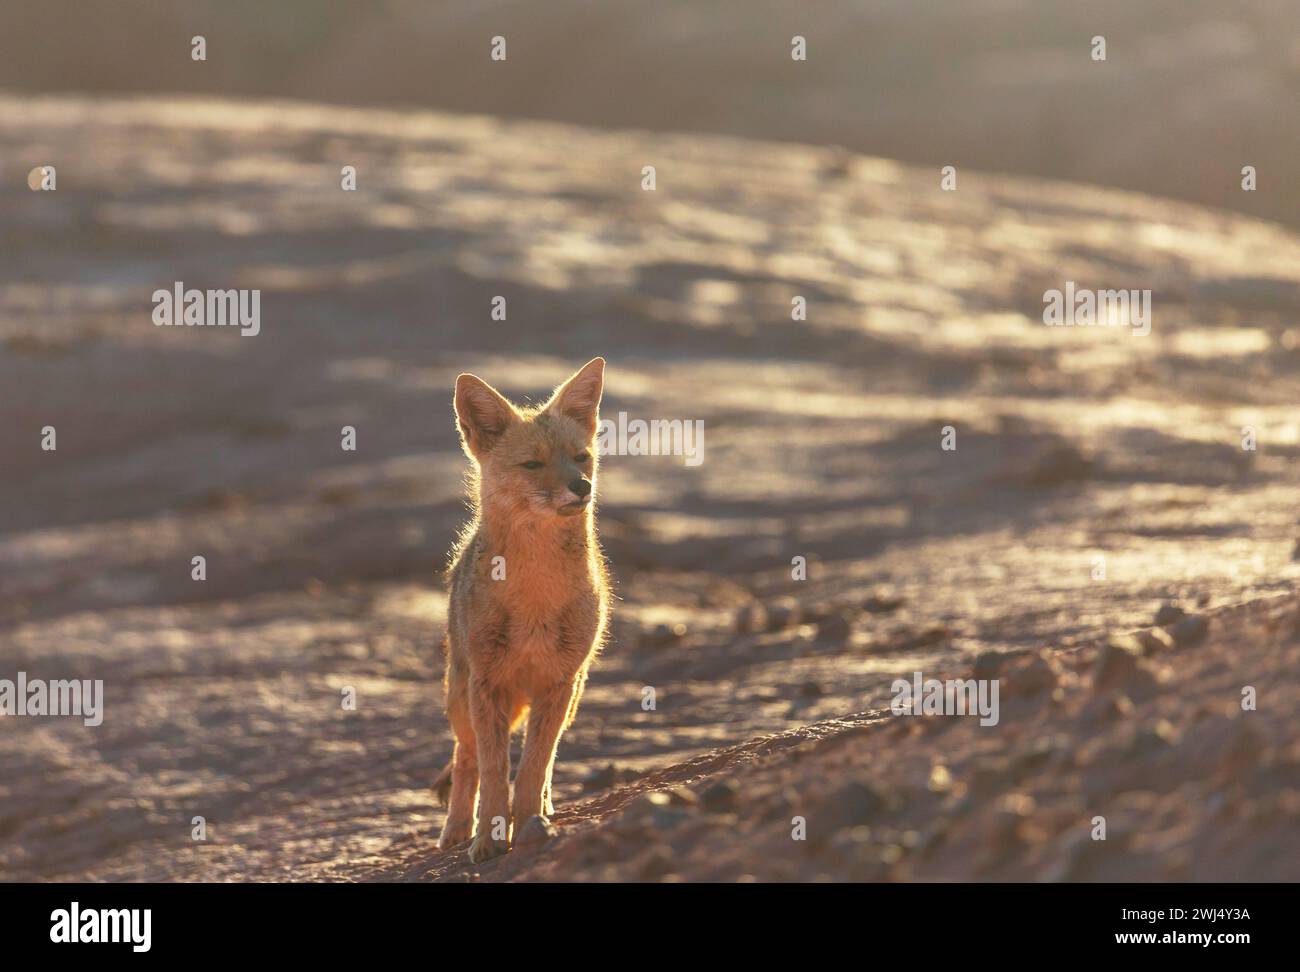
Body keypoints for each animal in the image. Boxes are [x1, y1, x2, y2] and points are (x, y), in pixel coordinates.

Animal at [432, 357, 611, 862]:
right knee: (465, 758)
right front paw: (490, 837)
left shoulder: (558, 682)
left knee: (543, 759)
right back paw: (456, 828)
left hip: (570, 696)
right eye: (532, 464)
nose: (581, 486)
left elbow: (535, 764)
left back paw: (544, 810)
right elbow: (494, 770)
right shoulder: (488, 683)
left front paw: (530, 822)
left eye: (580, 457)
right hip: (461, 697)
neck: (535, 595)